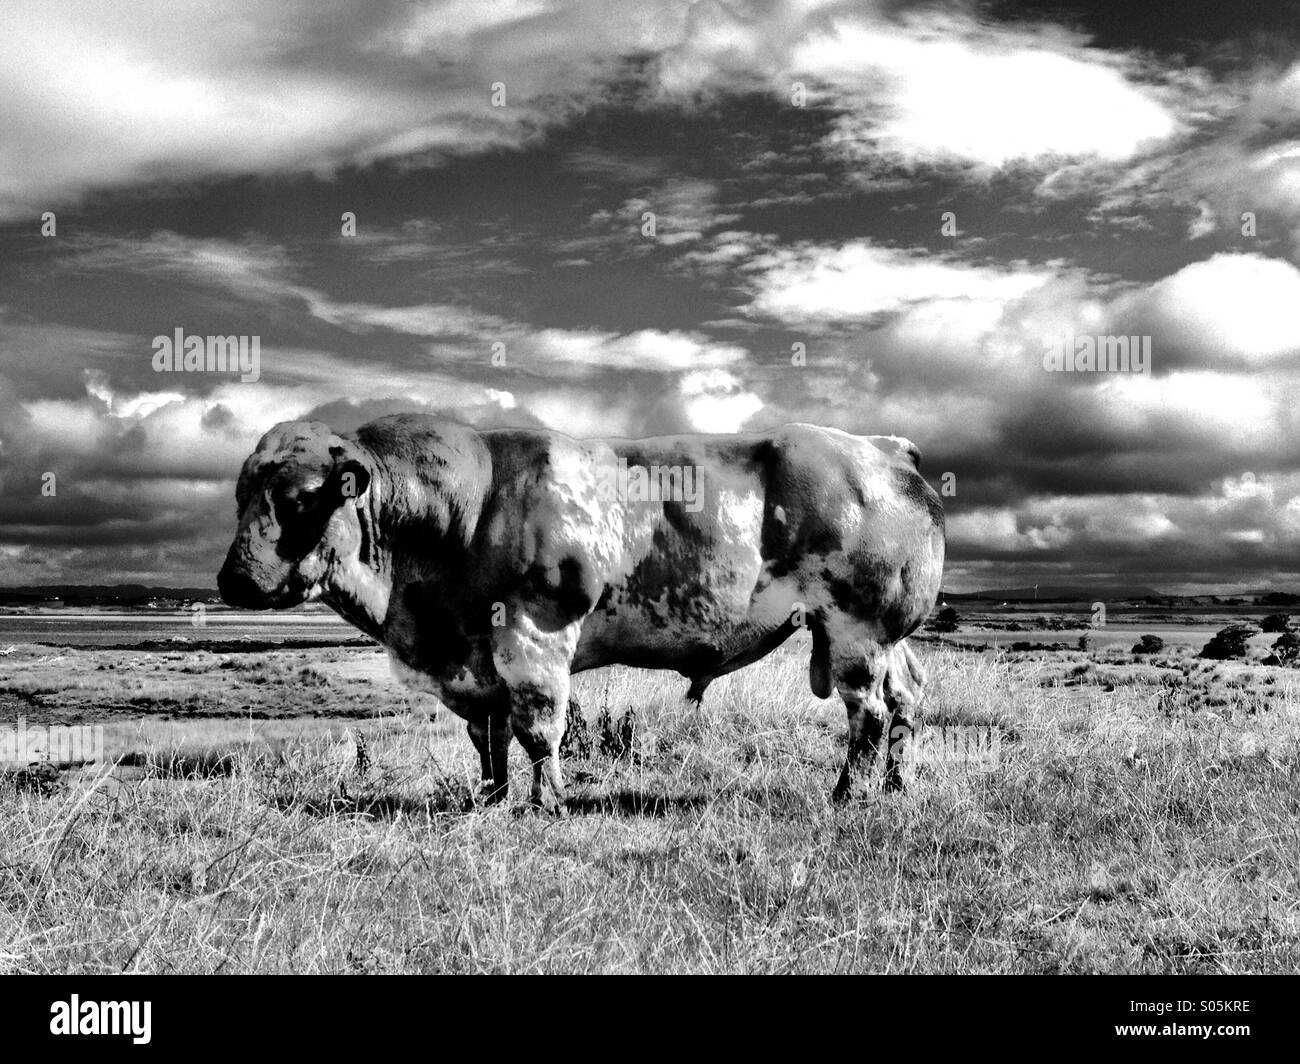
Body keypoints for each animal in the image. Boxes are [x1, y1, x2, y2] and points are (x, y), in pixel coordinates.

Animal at [217, 415, 945, 810]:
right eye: (240, 495)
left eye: (300, 496)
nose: (233, 580)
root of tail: (880, 447)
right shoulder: (476, 660)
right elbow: (488, 734)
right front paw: (492, 797)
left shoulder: (534, 631)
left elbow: (537, 725)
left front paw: (547, 801)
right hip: (886, 636)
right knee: (906, 699)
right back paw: (896, 786)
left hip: (855, 628)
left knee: (868, 712)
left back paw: (849, 793)